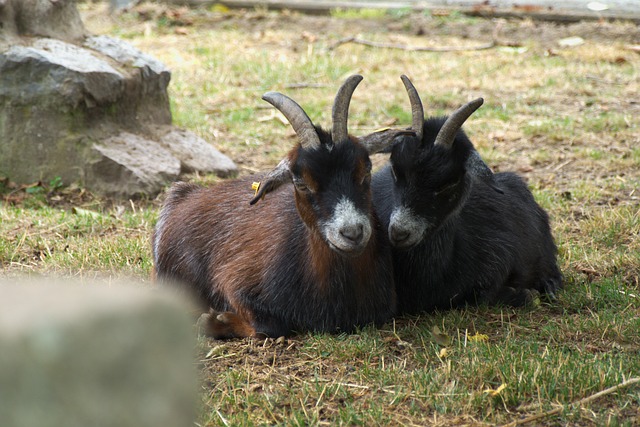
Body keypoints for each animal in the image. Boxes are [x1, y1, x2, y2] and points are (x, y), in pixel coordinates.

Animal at [153, 75, 398, 338]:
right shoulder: (233, 279)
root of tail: (185, 194)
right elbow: (269, 326)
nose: (352, 232)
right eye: (300, 182)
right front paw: (214, 321)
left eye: (366, 171)